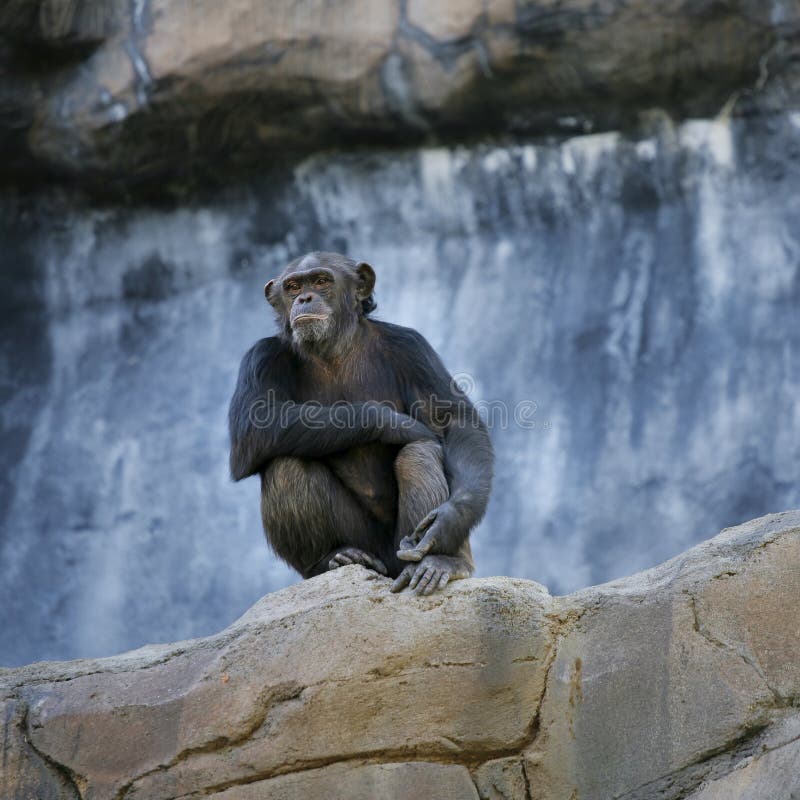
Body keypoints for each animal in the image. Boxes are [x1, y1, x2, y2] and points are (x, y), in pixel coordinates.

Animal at [228, 251, 493, 595]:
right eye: (293, 286)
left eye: (321, 281)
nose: (304, 298)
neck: (334, 347)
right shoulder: (260, 357)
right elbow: (253, 426)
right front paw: (394, 424)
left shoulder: (412, 346)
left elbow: (454, 421)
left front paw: (446, 522)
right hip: (364, 543)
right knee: (285, 464)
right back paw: (332, 557)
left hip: (399, 548)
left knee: (418, 455)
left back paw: (441, 561)